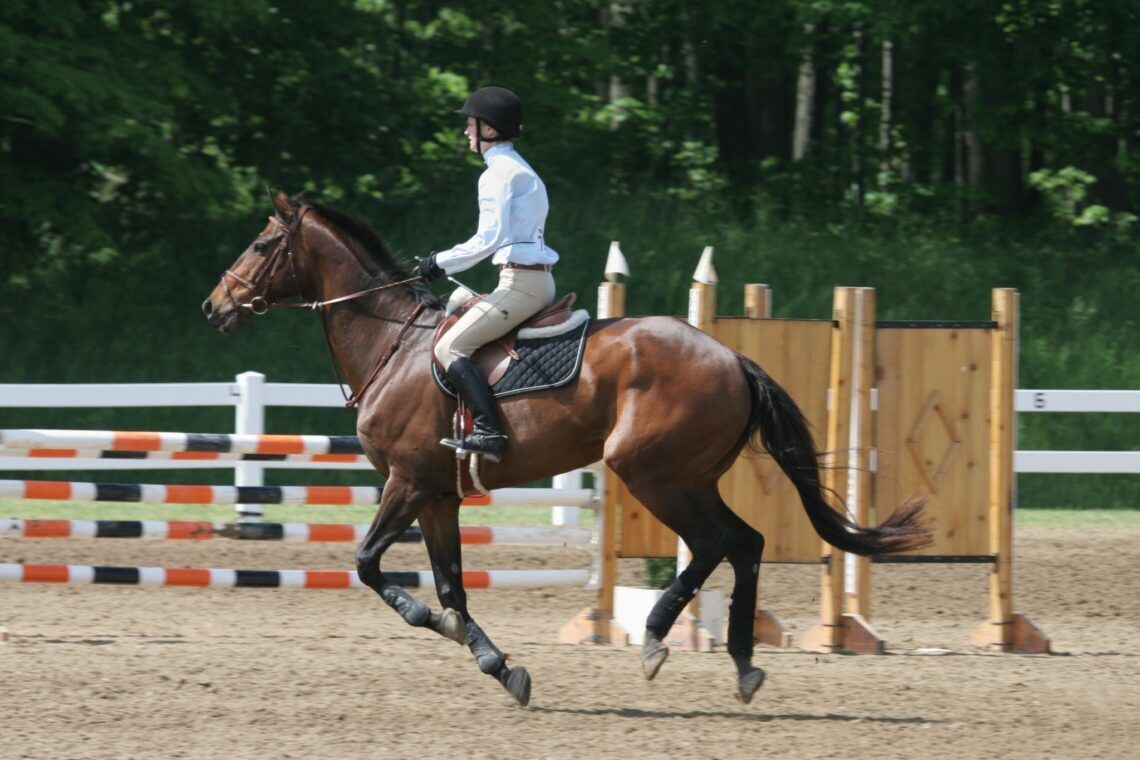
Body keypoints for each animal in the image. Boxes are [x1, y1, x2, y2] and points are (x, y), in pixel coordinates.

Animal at [202, 191, 931, 707]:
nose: (214, 307)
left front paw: (432, 622)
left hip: (650, 474)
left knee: (716, 544)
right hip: (692, 476)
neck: (394, 345)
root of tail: (733, 358)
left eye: (262, 242)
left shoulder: (406, 483)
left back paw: (659, 640)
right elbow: (451, 585)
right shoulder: (437, 496)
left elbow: (370, 566)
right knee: (745, 543)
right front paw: (498, 665)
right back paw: (743, 663)